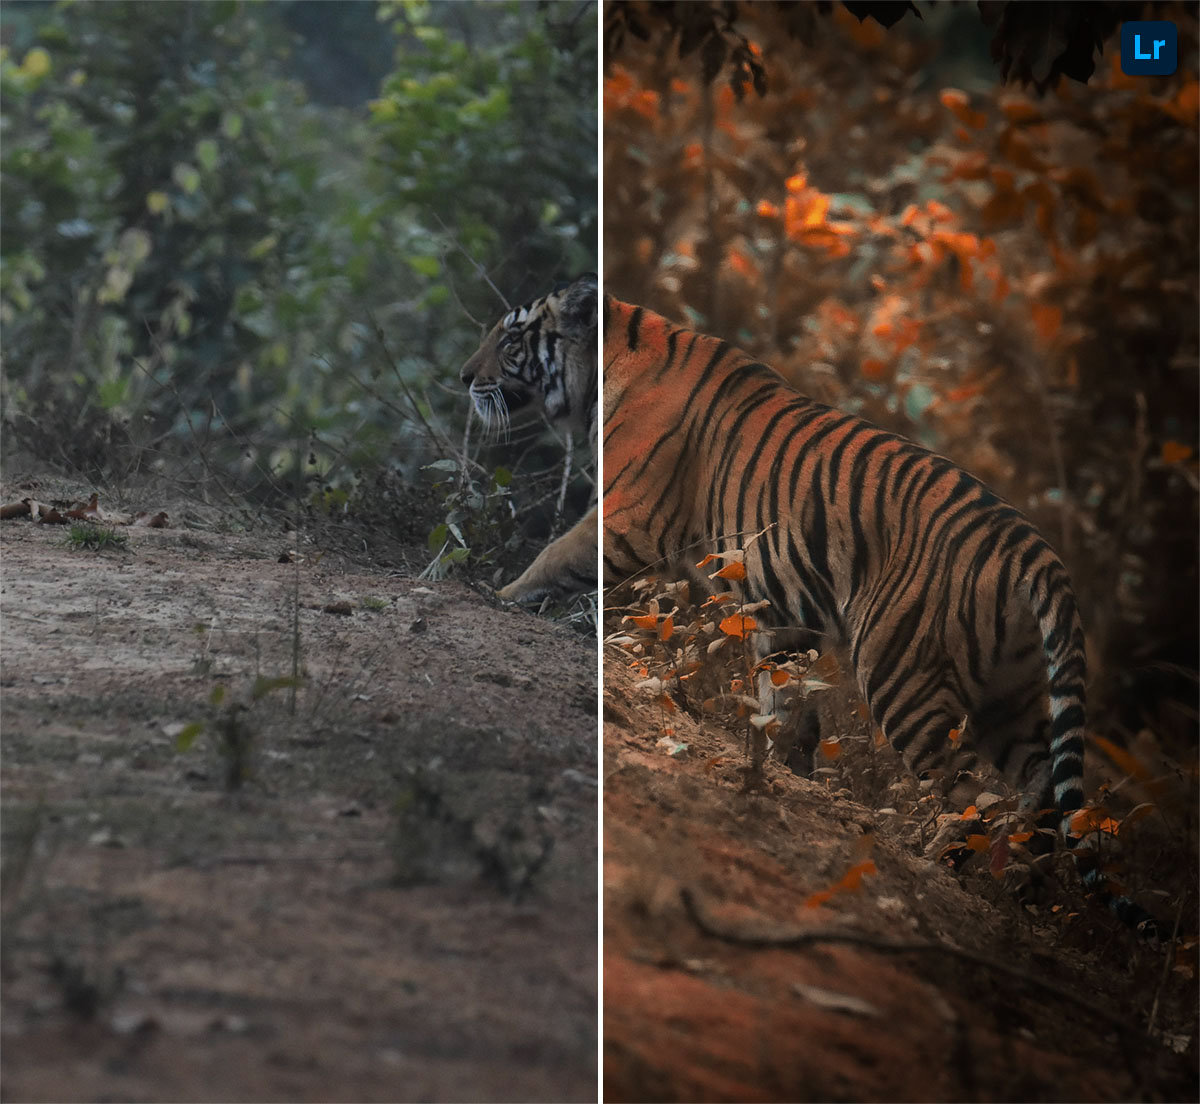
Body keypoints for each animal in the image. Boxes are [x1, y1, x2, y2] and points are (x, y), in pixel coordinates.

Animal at [603, 293, 1157, 938]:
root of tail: (1038, 557)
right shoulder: (780, 612)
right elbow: (784, 699)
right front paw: (784, 765)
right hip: (1008, 695)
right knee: (1039, 786)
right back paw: (1029, 891)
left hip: (901, 679)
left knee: (962, 789)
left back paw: (940, 861)